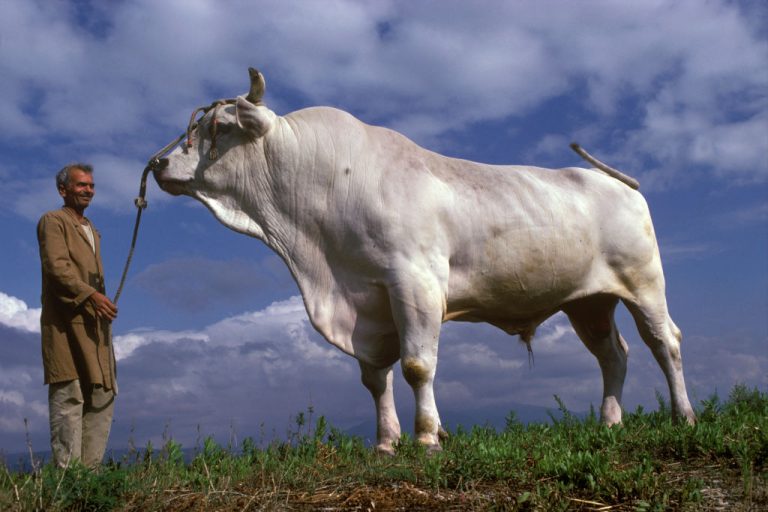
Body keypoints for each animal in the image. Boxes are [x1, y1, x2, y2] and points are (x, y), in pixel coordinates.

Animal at [153, 68, 695, 454]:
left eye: (219, 126)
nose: (158, 164)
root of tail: (616, 182)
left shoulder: (415, 282)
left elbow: (417, 365)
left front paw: (428, 437)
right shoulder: (368, 303)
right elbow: (374, 378)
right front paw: (385, 443)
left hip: (644, 283)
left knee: (664, 343)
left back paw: (684, 416)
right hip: (588, 301)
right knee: (613, 355)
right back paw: (609, 424)